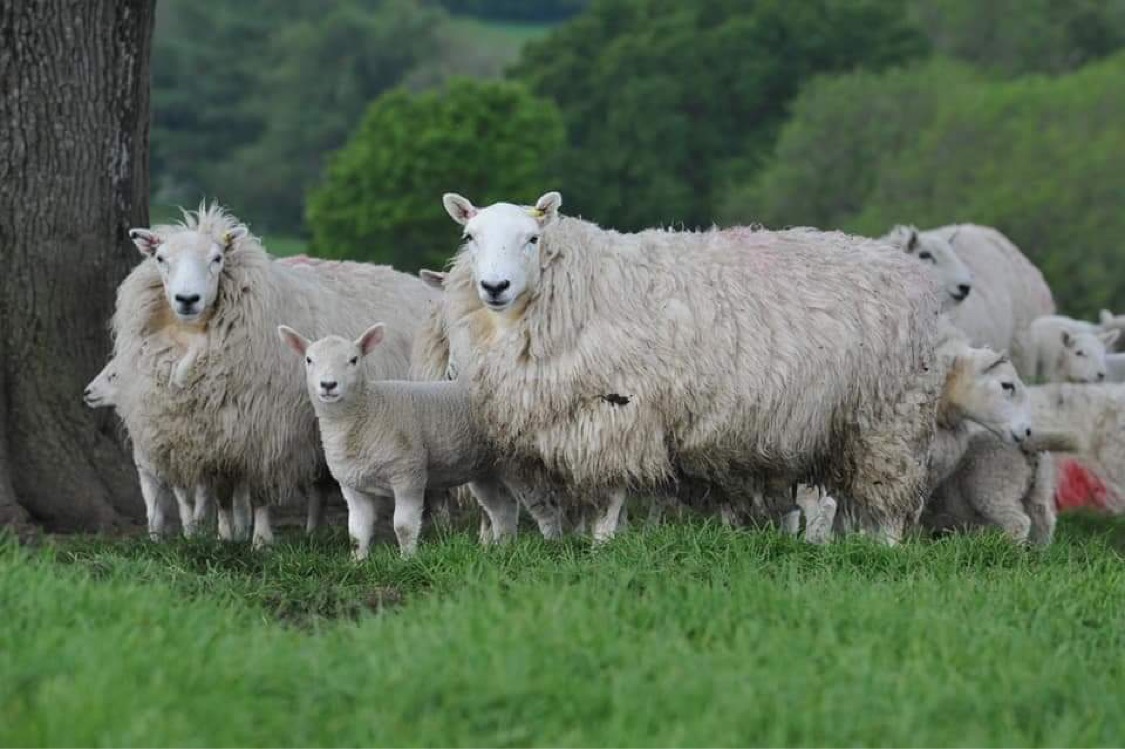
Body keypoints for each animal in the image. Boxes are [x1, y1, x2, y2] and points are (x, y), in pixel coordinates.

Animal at [112, 202, 439, 548]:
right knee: (321, 487)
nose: (187, 300)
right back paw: (314, 530)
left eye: (217, 258)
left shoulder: (267, 432)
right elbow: (223, 496)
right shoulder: (216, 438)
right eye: (160, 258)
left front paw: (261, 541)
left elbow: (259, 495)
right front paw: (226, 537)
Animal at [279, 323, 537, 558]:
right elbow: (356, 532)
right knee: (502, 506)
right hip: (484, 470)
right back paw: (504, 547)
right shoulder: (352, 486)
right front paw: (357, 562)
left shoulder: (408, 475)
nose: (328, 385)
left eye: (353, 360)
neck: (365, 412)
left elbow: (403, 526)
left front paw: (407, 560)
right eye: (309, 360)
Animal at [438, 191, 948, 544]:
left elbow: (609, 497)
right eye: (470, 238)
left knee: (890, 500)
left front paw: (602, 546)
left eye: (532, 238)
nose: (495, 286)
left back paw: (887, 550)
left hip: (889, 419)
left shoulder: (618, 415)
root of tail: (909, 273)